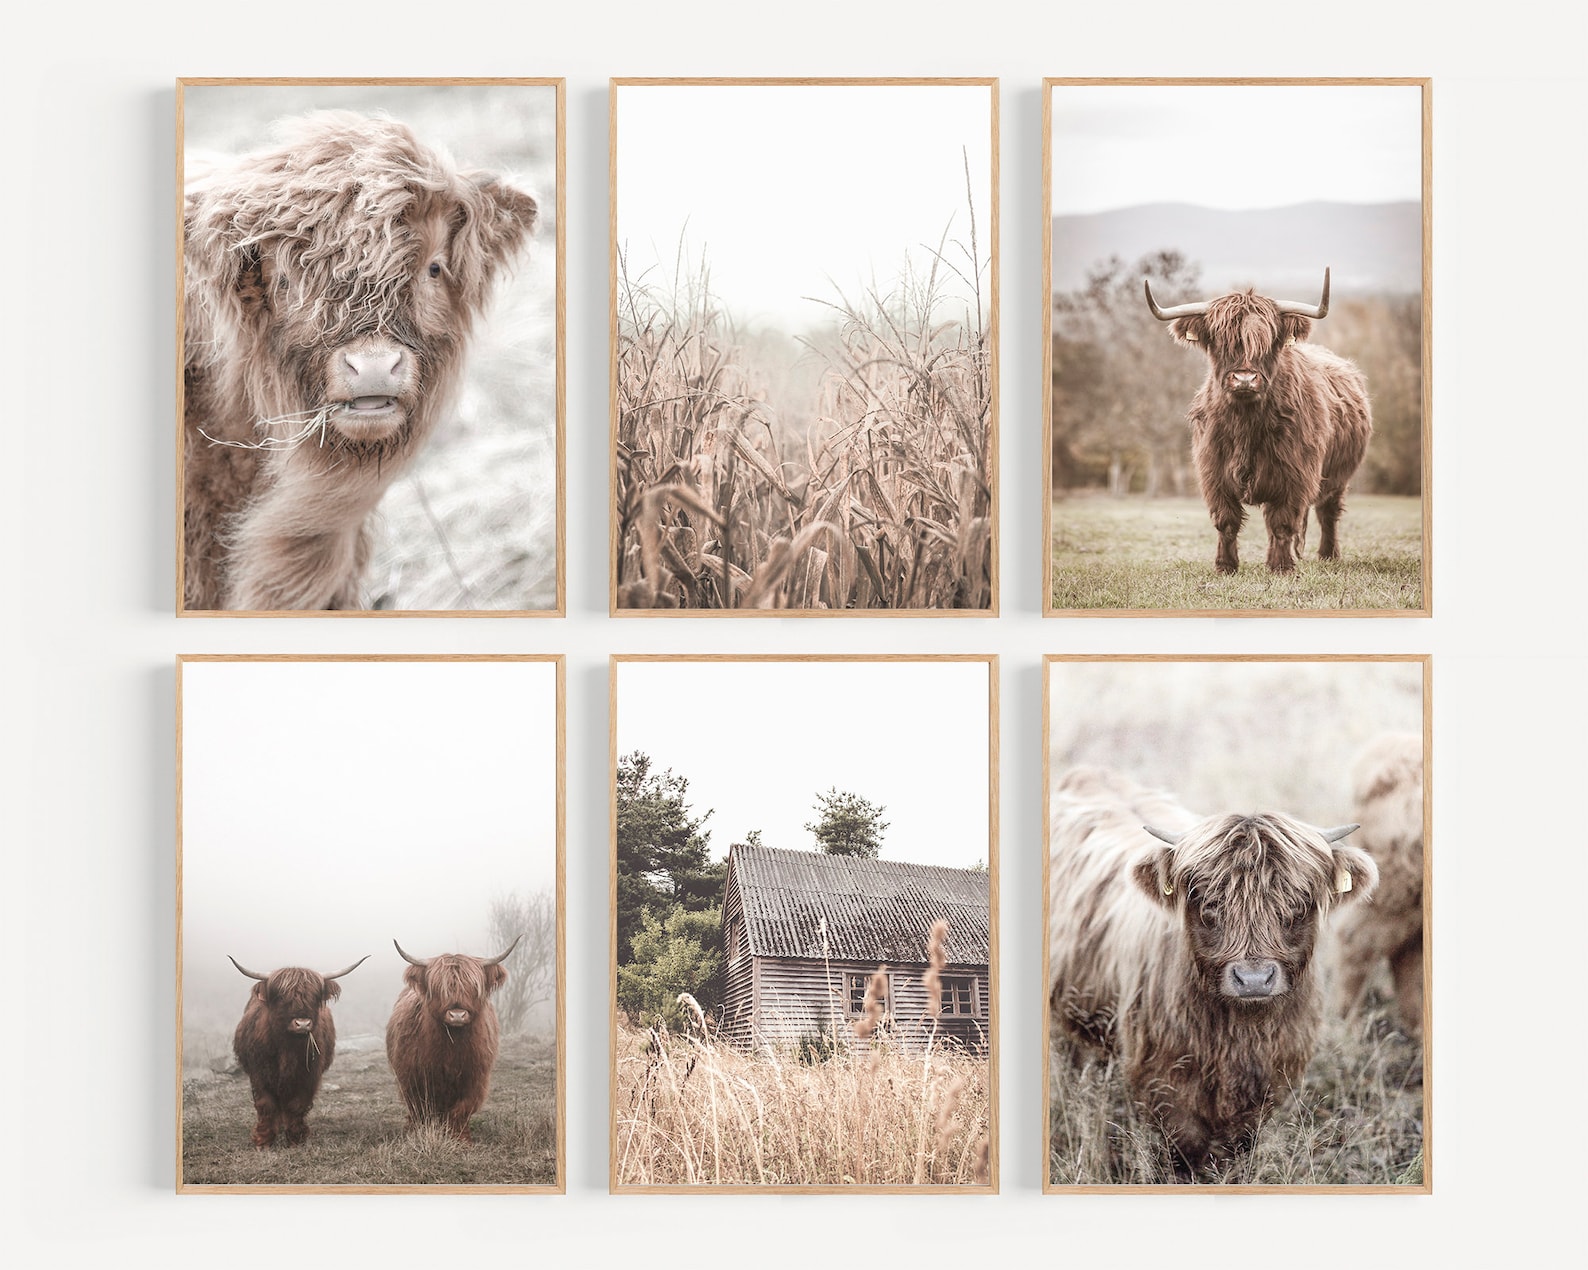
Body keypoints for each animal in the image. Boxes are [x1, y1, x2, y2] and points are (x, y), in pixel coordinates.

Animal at [228, 954, 369, 1147]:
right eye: (282, 997)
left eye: (315, 996)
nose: (302, 1024)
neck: (288, 1048)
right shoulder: (259, 1074)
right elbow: (266, 1104)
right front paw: (263, 1140)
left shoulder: (308, 1075)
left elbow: (297, 1105)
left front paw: (296, 1138)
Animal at [385, 936, 521, 1141]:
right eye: (439, 988)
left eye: (474, 987)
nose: (457, 1015)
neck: (452, 1047)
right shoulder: (412, 1078)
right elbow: (420, 1109)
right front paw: (417, 1134)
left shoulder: (475, 1079)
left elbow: (461, 1110)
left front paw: (461, 1139)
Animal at [1047, 766, 1377, 1175]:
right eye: (1207, 903)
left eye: (1298, 904)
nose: (1253, 979)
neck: (1238, 1033)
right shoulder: (1162, 1079)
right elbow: (1185, 1146)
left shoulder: (1271, 1076)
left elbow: (1240, 1144)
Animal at [1145, 270, 1372, 574]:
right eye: (1220, 341)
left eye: (1268, 341)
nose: (1245, 379)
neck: (1246, 423)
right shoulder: (1214, 473)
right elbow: (1226, 522)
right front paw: (1225, 566)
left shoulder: (1295, 474)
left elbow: (1283, 522)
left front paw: (1281, 567)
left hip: (1338, 475)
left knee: (1328, 512)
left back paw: (1328, 555)